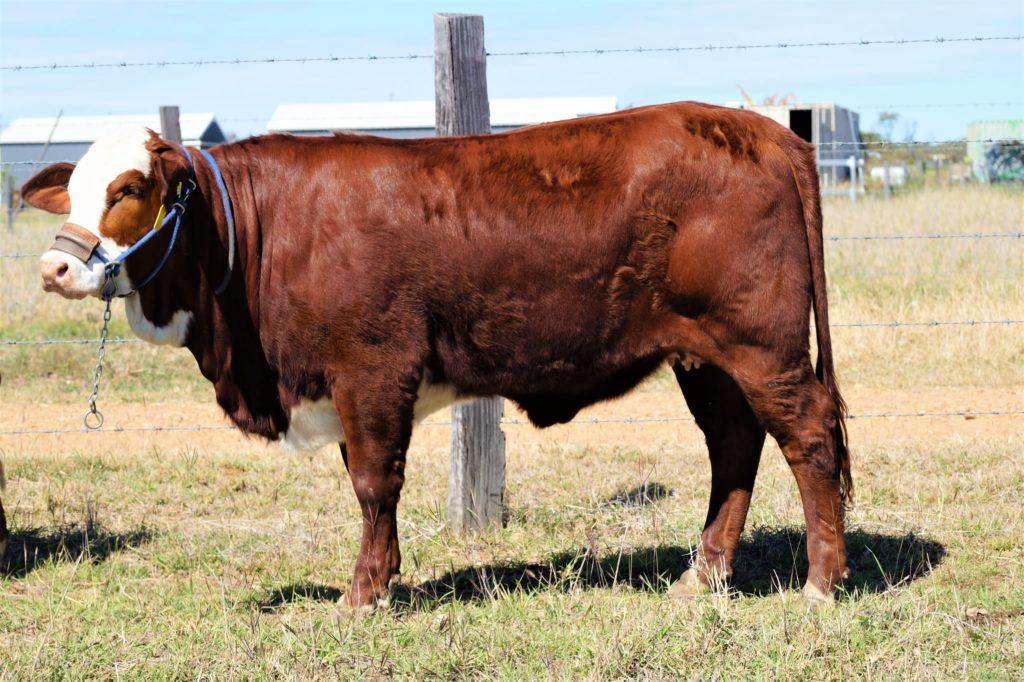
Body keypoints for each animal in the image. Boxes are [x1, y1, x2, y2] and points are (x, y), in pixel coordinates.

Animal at [19, 102, 851, 607]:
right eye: (76, 189)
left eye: (128, 188)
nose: (55, 267)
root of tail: (759, 128)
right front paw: (379, 583)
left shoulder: (371, 369)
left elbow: (372, 484)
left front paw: (364, 593)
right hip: (706, 357)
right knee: (735, 445)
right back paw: (701, 576)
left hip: (762, 344)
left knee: (807, 435)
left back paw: (820, 581)